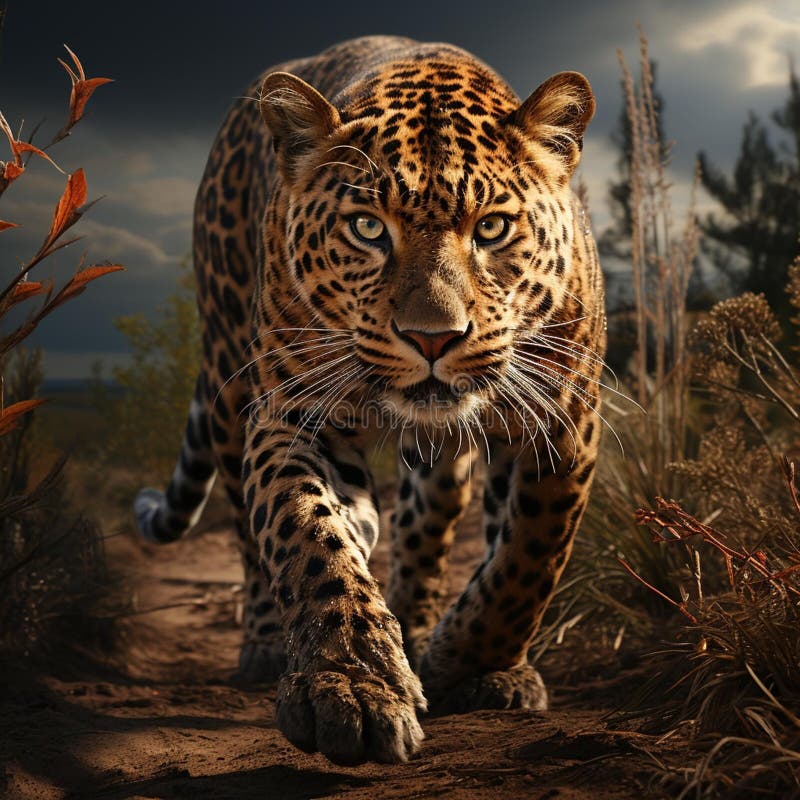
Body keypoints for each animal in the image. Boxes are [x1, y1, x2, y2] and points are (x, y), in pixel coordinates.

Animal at [134, 35, 606, 766]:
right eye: (367, 228)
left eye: (493, 229)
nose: (433, 337)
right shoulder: (296, 414)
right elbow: (308, 535)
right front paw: (351, 684)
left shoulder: (563, 419)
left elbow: (529, 555)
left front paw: (472, 663)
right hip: (227, 376)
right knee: (246, 523)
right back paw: (266, 642)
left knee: (432, 516)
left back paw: (421, 619)